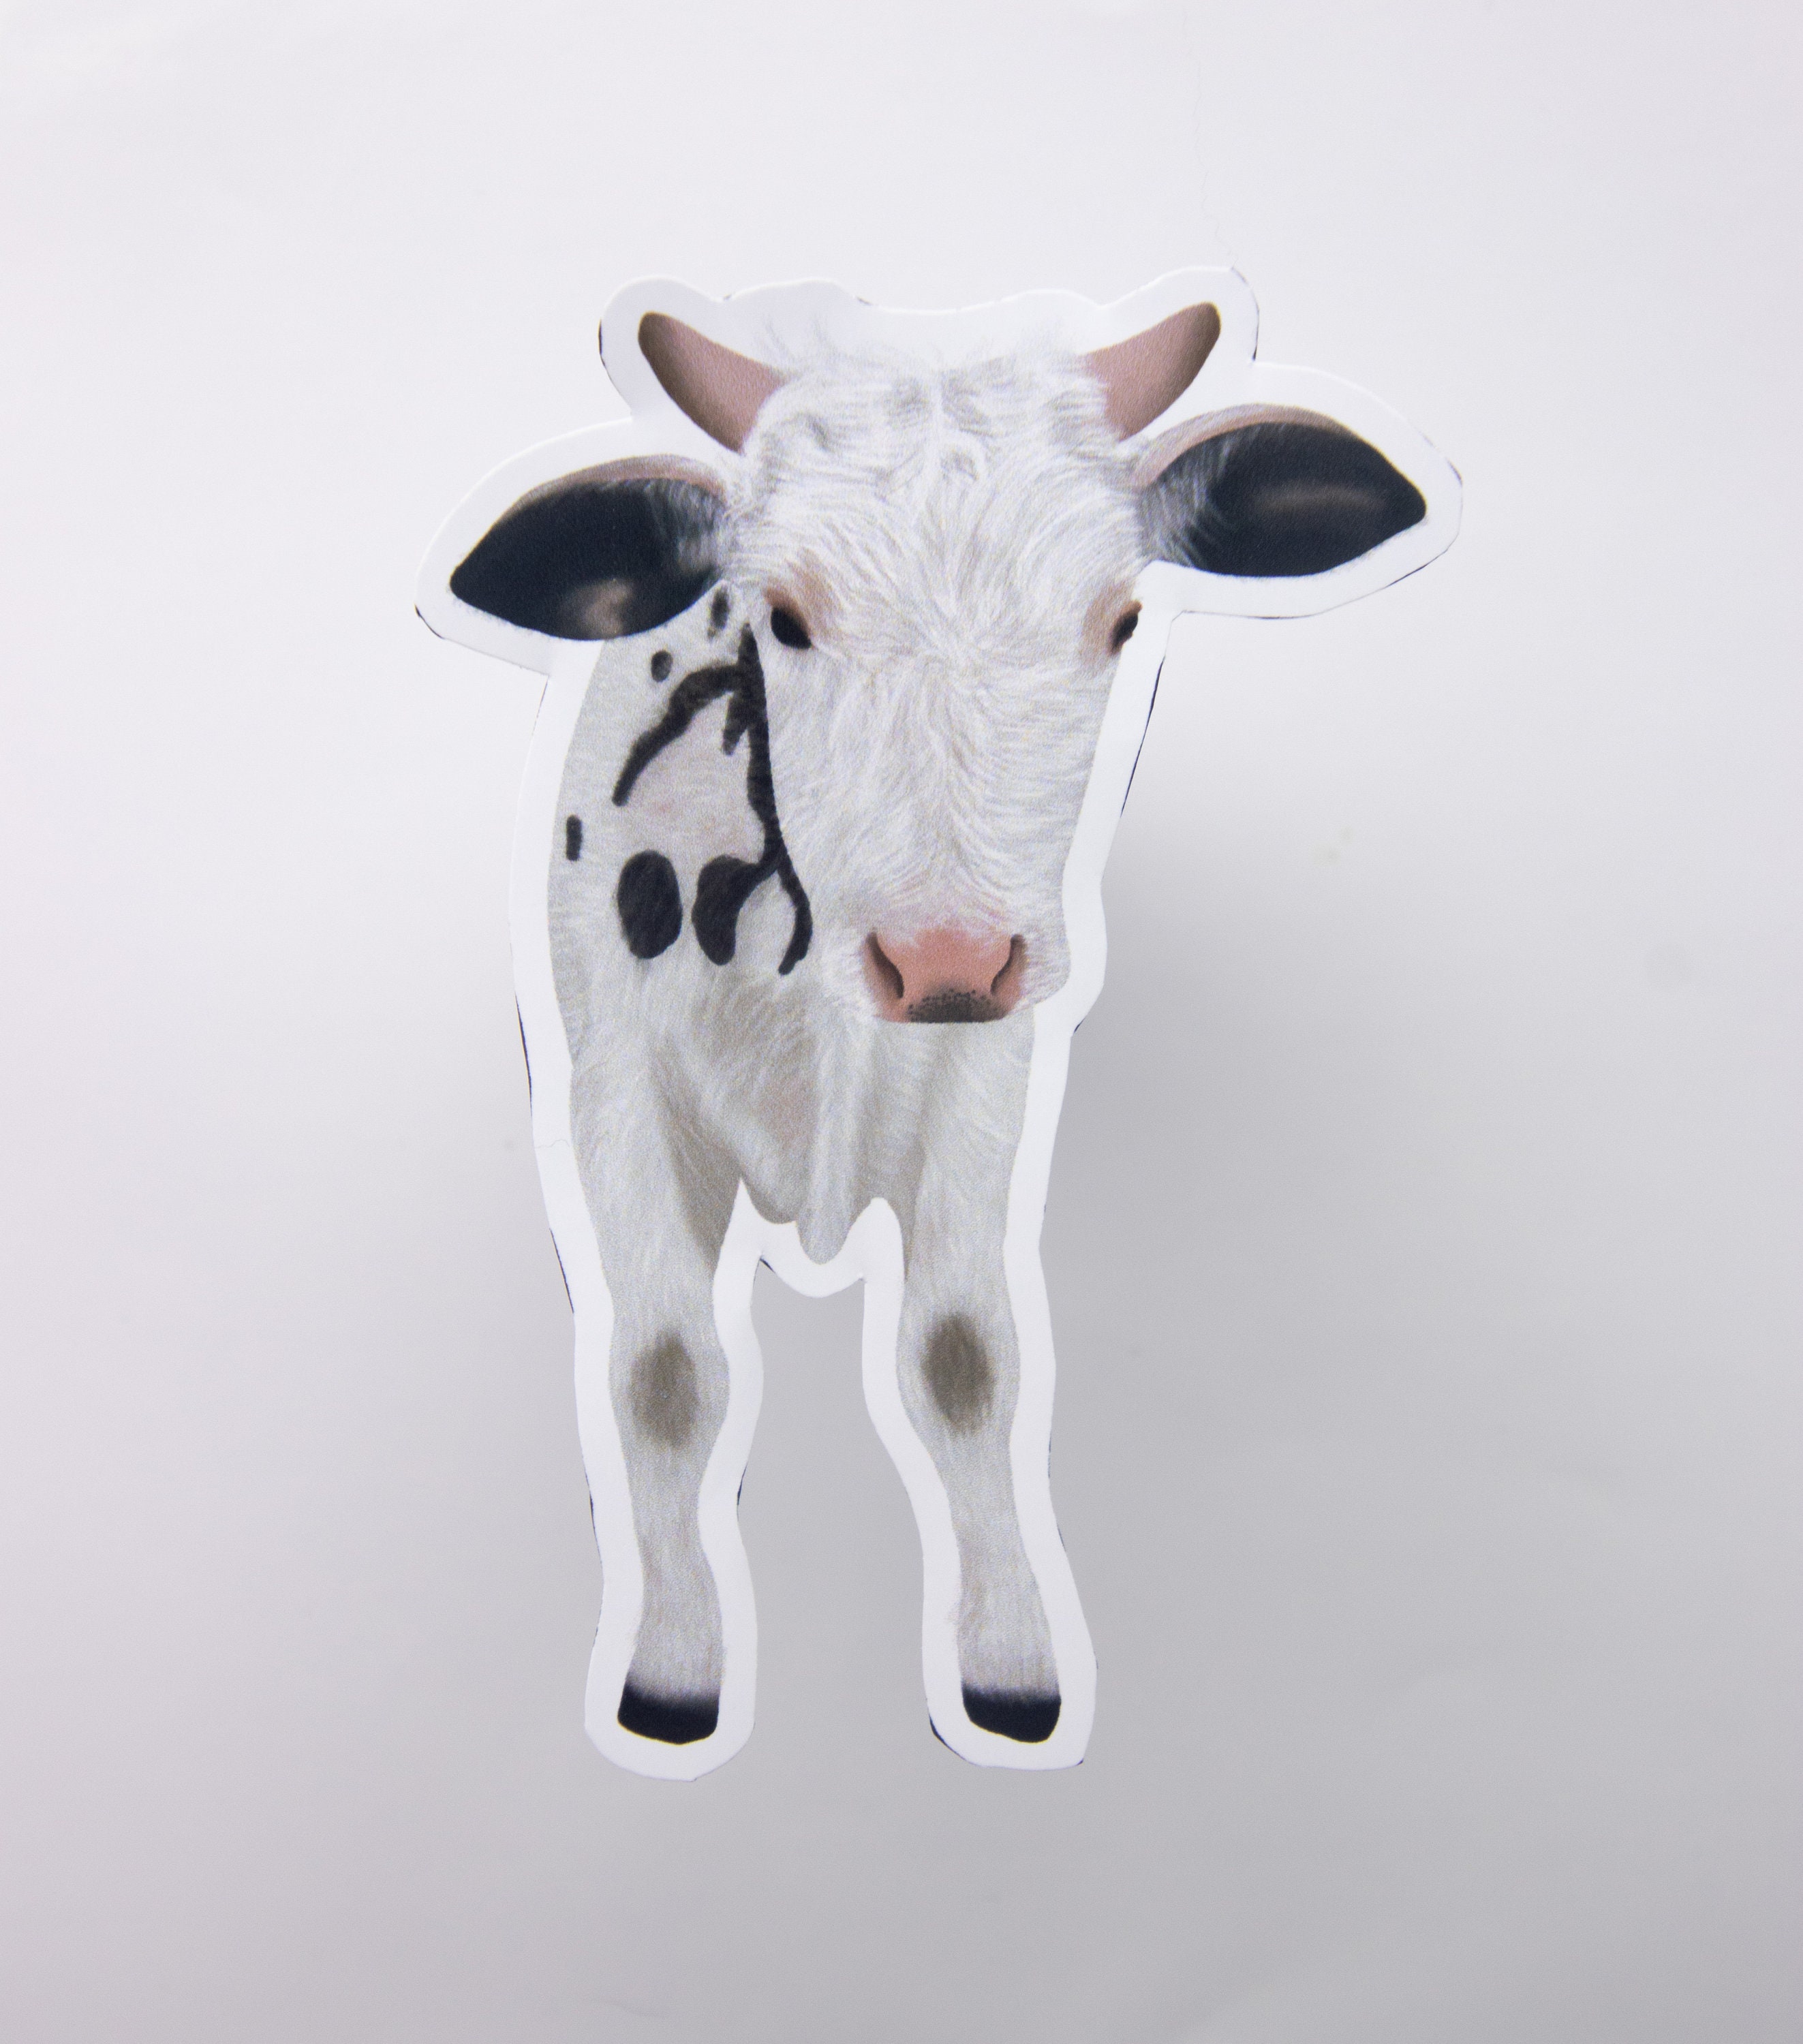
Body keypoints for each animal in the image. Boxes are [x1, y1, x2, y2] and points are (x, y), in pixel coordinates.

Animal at [417, 272, 1458, 1778]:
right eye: (784, 617)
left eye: (1121, 621)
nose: (948, 956)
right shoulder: (612, 1083)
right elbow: (665, 1376)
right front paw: (673, 1672)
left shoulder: (988, 1073)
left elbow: (964, 1360)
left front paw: (1009, 1666)